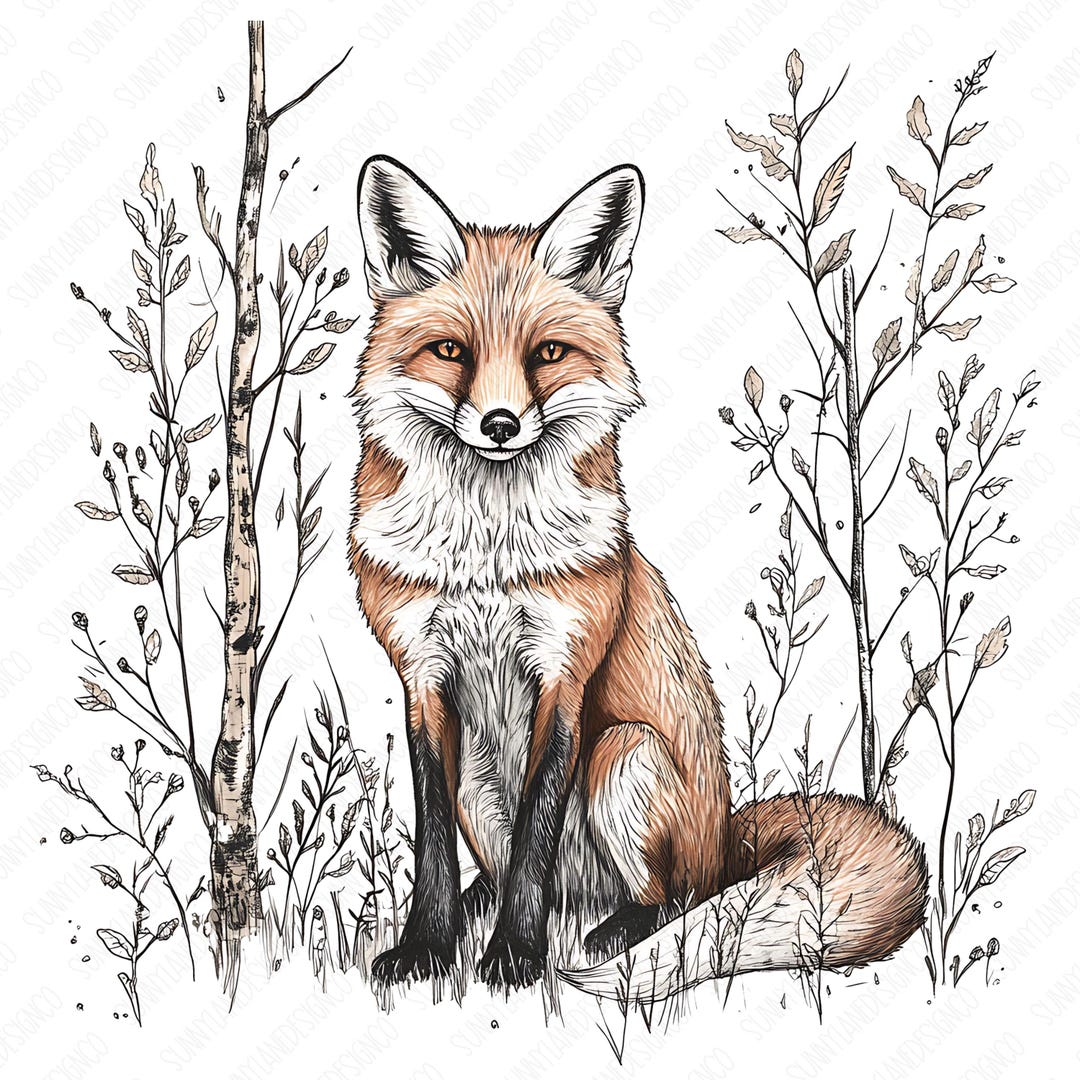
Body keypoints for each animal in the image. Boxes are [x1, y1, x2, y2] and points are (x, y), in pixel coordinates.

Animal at [348, 154, 928, 995]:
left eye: (547, 353)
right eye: (451, 352)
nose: (500, 425)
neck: (487, 556)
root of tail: (728, 838)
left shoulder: (565, 672)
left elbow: (536, 829)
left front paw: (514, 956)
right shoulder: (421, 673)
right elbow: (430, 839)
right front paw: (428, 945)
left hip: (624, 753)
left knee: (672, 895)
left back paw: (614, 929)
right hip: (479, 781)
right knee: (517, 869)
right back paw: (481, 899)